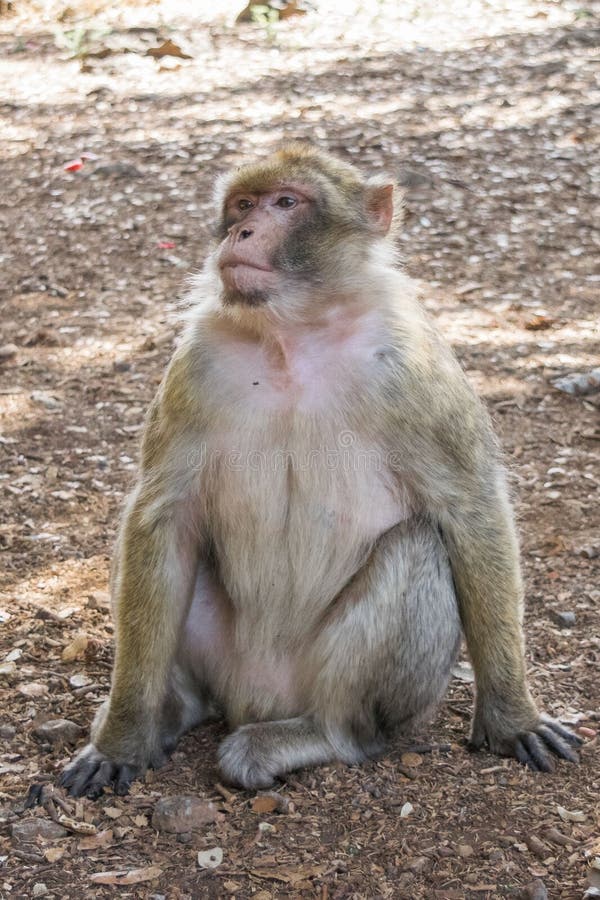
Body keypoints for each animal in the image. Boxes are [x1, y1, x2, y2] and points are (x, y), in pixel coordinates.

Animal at [60, 144, 581, 798]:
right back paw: (171, 711)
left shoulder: (415, 367)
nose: (240, 232)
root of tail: (255, 700)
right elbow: (163, 517)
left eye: (287, 202)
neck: (294, 334)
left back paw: (322, 735)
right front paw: (124, 736)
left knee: (415, 548)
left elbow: (469, 507)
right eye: (243, 205)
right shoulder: (195, 363)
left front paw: (513, 718)